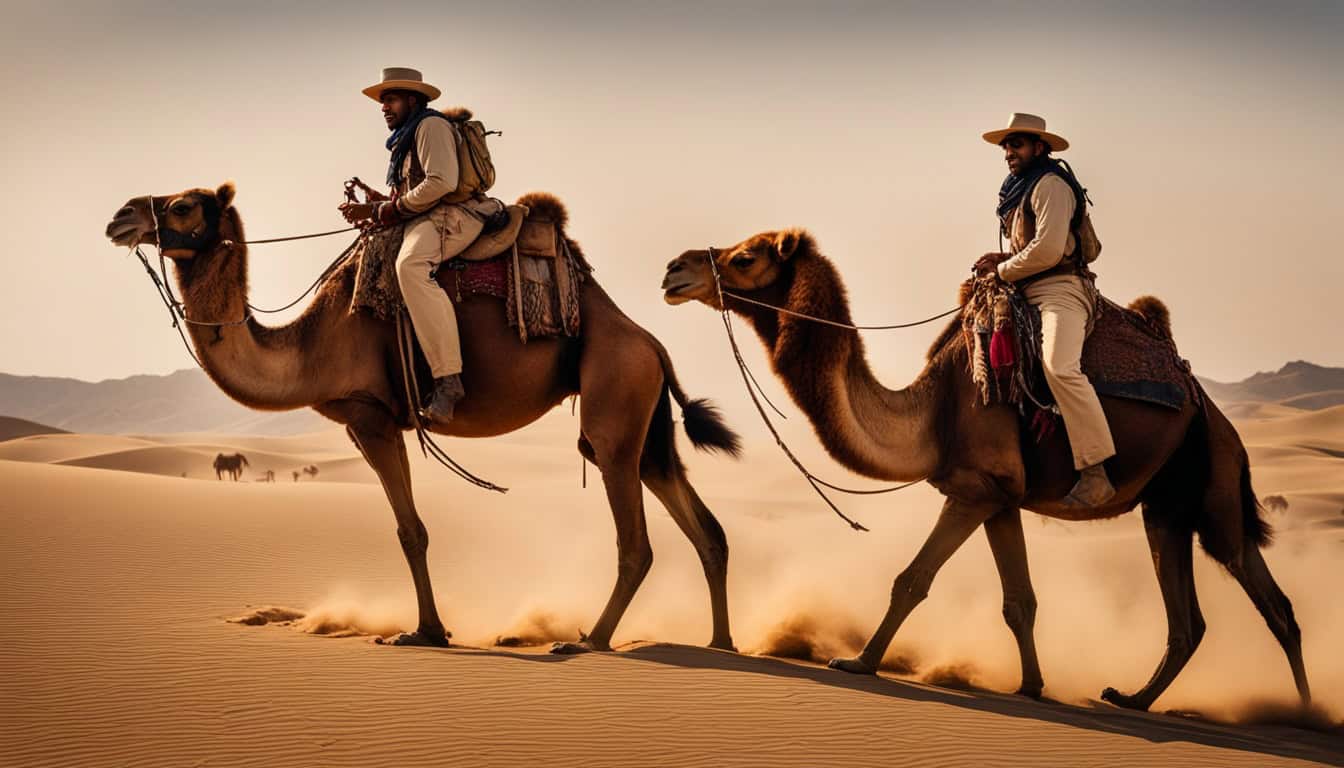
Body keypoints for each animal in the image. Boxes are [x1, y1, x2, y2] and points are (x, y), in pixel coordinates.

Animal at [106, 182, 741, 651]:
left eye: (183, 205)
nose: (120, 216)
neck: (313, 344)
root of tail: (651, 343)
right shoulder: (371, 424)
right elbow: (411, 528)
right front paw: (427, 628)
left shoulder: (370, 415)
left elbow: (411, 530)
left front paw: (425, 632)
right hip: (648, 420)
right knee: (702, 523)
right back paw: (721, 642)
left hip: (614, 399)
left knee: (634, 535)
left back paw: (589, 640)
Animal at [661, 229, 1310, 711]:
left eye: (744, 257)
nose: (674, 269)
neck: (934, 410)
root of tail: (1208, 408)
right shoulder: (1000, 499)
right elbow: (1018, 602)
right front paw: (1031, 686)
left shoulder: (973, 491)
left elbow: (911, 580)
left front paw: (858, 662)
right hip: (1168, 506)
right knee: (1191, 620)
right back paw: (1131, 698)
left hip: (1214, 486)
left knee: (1272, 603)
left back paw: (1305, 714)